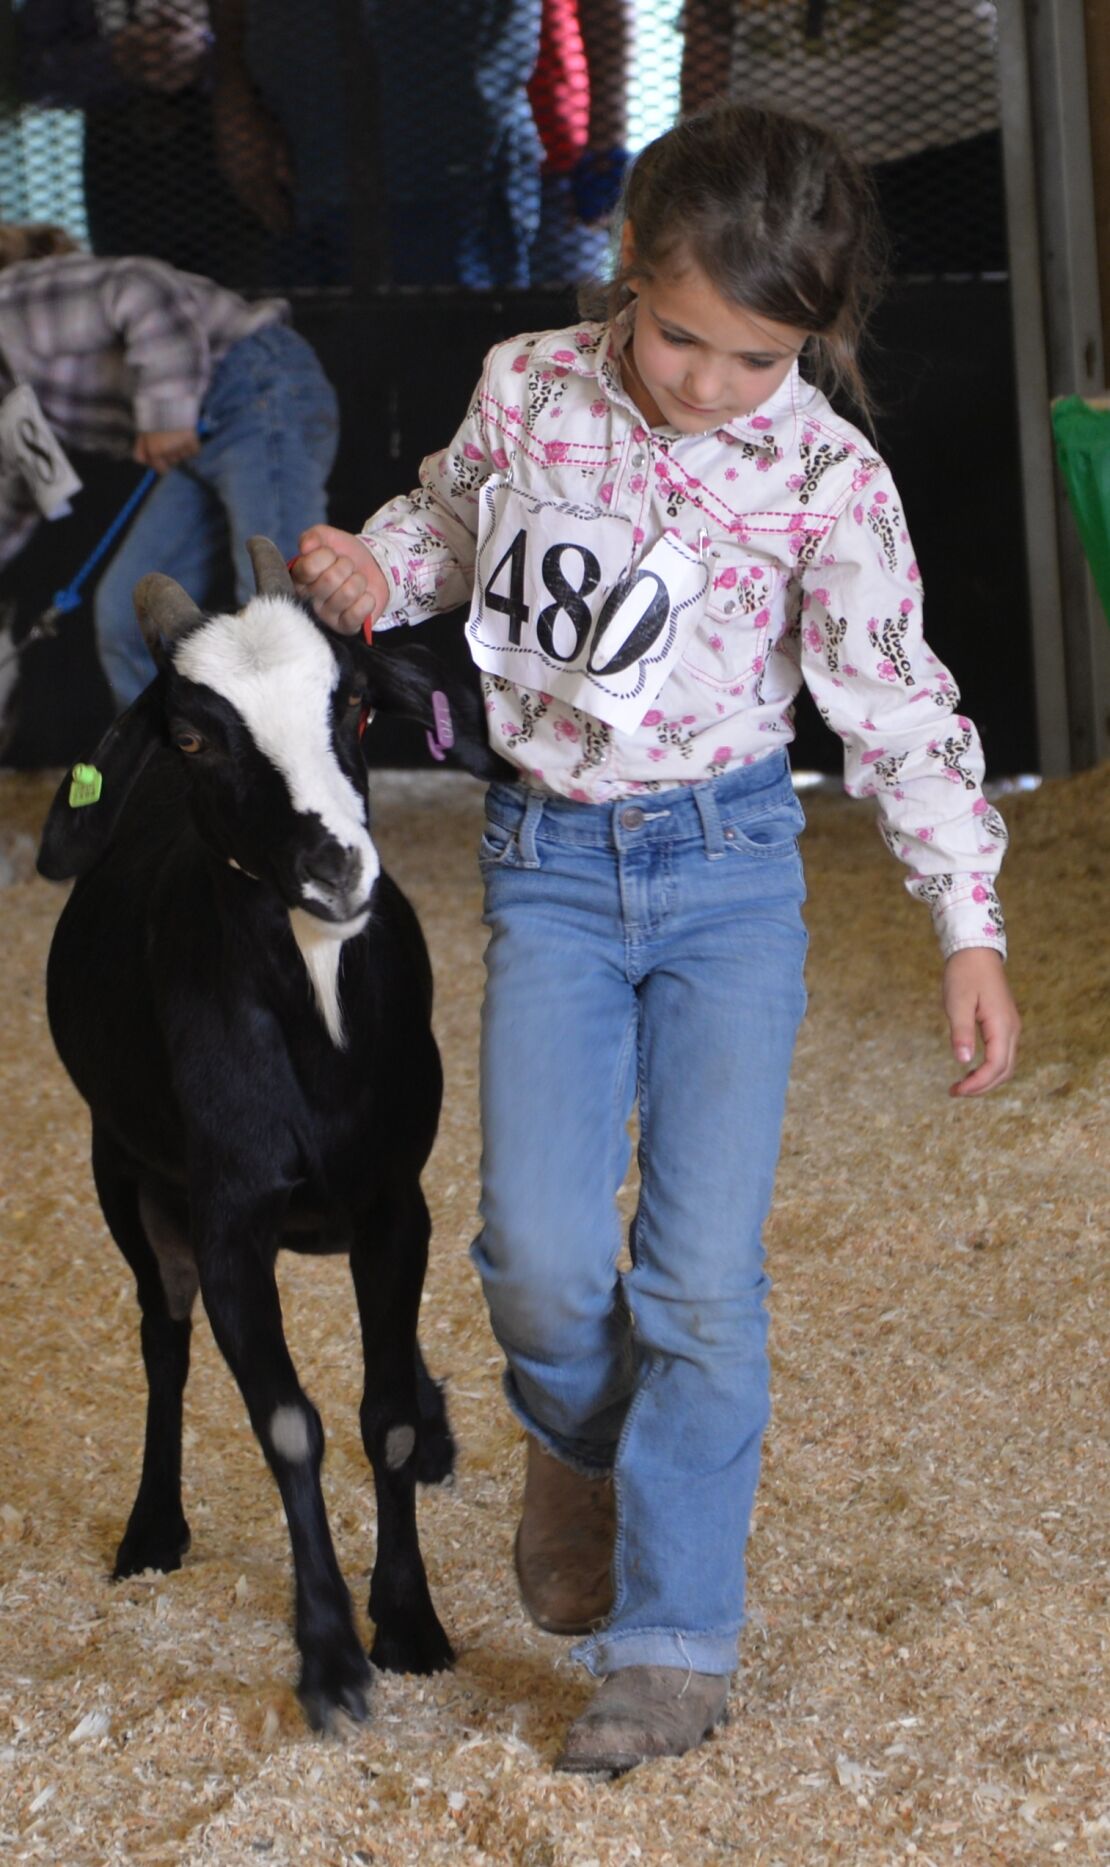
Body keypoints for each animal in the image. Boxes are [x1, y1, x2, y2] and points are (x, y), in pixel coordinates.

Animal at [36, 537, 508, 1731]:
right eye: (196, 736)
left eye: (355, 704)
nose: (336, 870)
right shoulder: (231, 1221)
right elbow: (290, 1422)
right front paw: (333, 1660)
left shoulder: (395, 1204)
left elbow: (384, 1417)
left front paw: (412, 1622)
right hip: (127, 1176)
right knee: (162, 1338)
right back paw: (153, 1528)